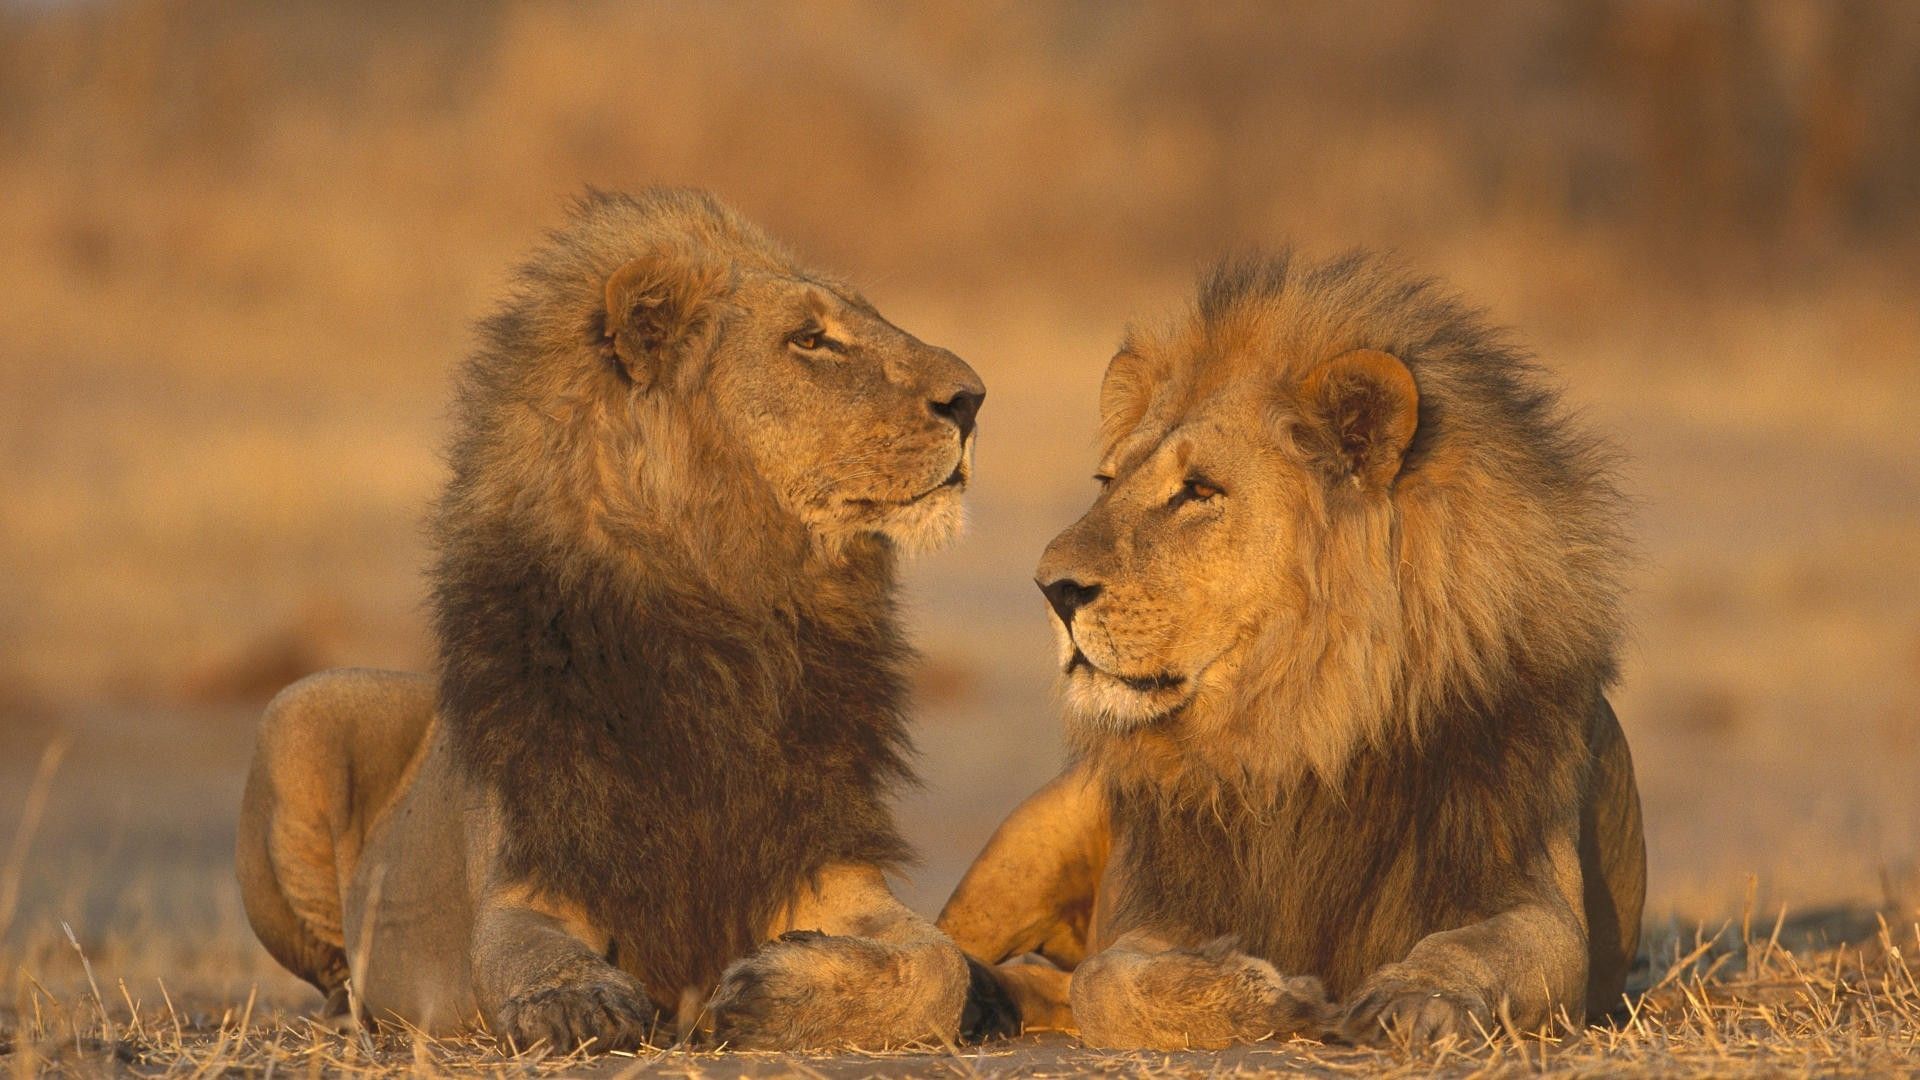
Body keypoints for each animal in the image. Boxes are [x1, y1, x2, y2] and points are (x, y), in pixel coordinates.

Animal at [236, 188, 988, 1052]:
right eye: (809, 339)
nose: (973, 399)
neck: (734, 617)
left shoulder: (831, 870)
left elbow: (942, 967)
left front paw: (768, 991)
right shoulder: (531, 876)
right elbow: (523, 957)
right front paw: (578, 1002)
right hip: (301, 706)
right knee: (333, 968)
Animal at [939, 251, 1644, 1050]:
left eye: (1198, 491)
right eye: (1108, 481)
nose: (1051, 588)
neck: (1296, 727)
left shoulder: (1533, 896)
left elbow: (1469, 951)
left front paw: (1410, 998)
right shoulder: (1155, 911)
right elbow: (1106, 980)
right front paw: (1271, 997)